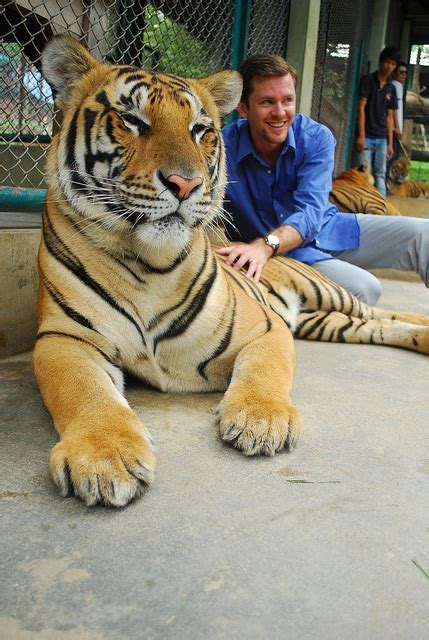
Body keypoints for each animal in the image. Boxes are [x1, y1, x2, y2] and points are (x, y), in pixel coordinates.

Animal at [34, 35, 429, 508]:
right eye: (132, 120)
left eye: (200, 130)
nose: (185, 184)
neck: (147, 261)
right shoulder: (63, 337)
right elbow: (83, 390)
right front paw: (104, 455)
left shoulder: (266, 328)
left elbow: (263, 369)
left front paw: (261, 420)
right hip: (328, 322)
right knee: (379, 326)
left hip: (329, 295)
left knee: (386, 313)